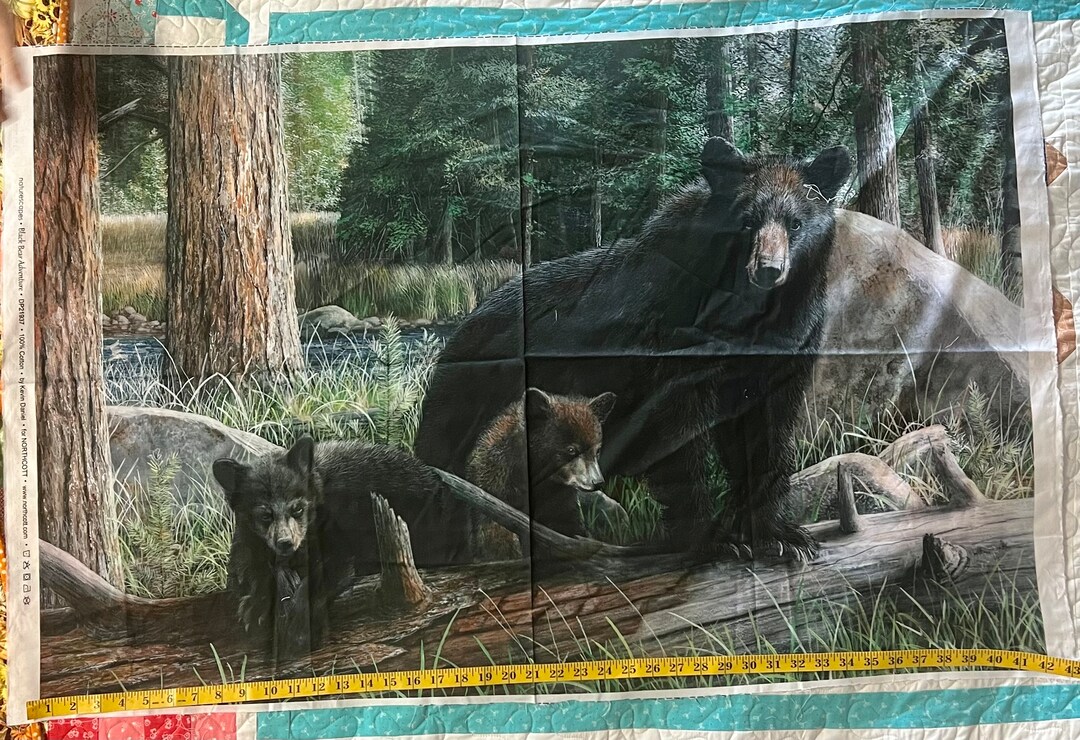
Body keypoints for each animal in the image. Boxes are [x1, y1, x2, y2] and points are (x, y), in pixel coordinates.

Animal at [213, 435, 469, 659]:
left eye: (297, 509)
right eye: (265, 515)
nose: (285, 542)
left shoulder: (338, 533)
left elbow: (328, 571)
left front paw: (301, 625)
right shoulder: (248, 542)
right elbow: (247, 570)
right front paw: (256, 606)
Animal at [467, 387, 619, 561]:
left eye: (597, 450)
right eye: (571, 450)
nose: (597, 482)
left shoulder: (561, 501)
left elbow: (569, 528)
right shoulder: (495, 490)